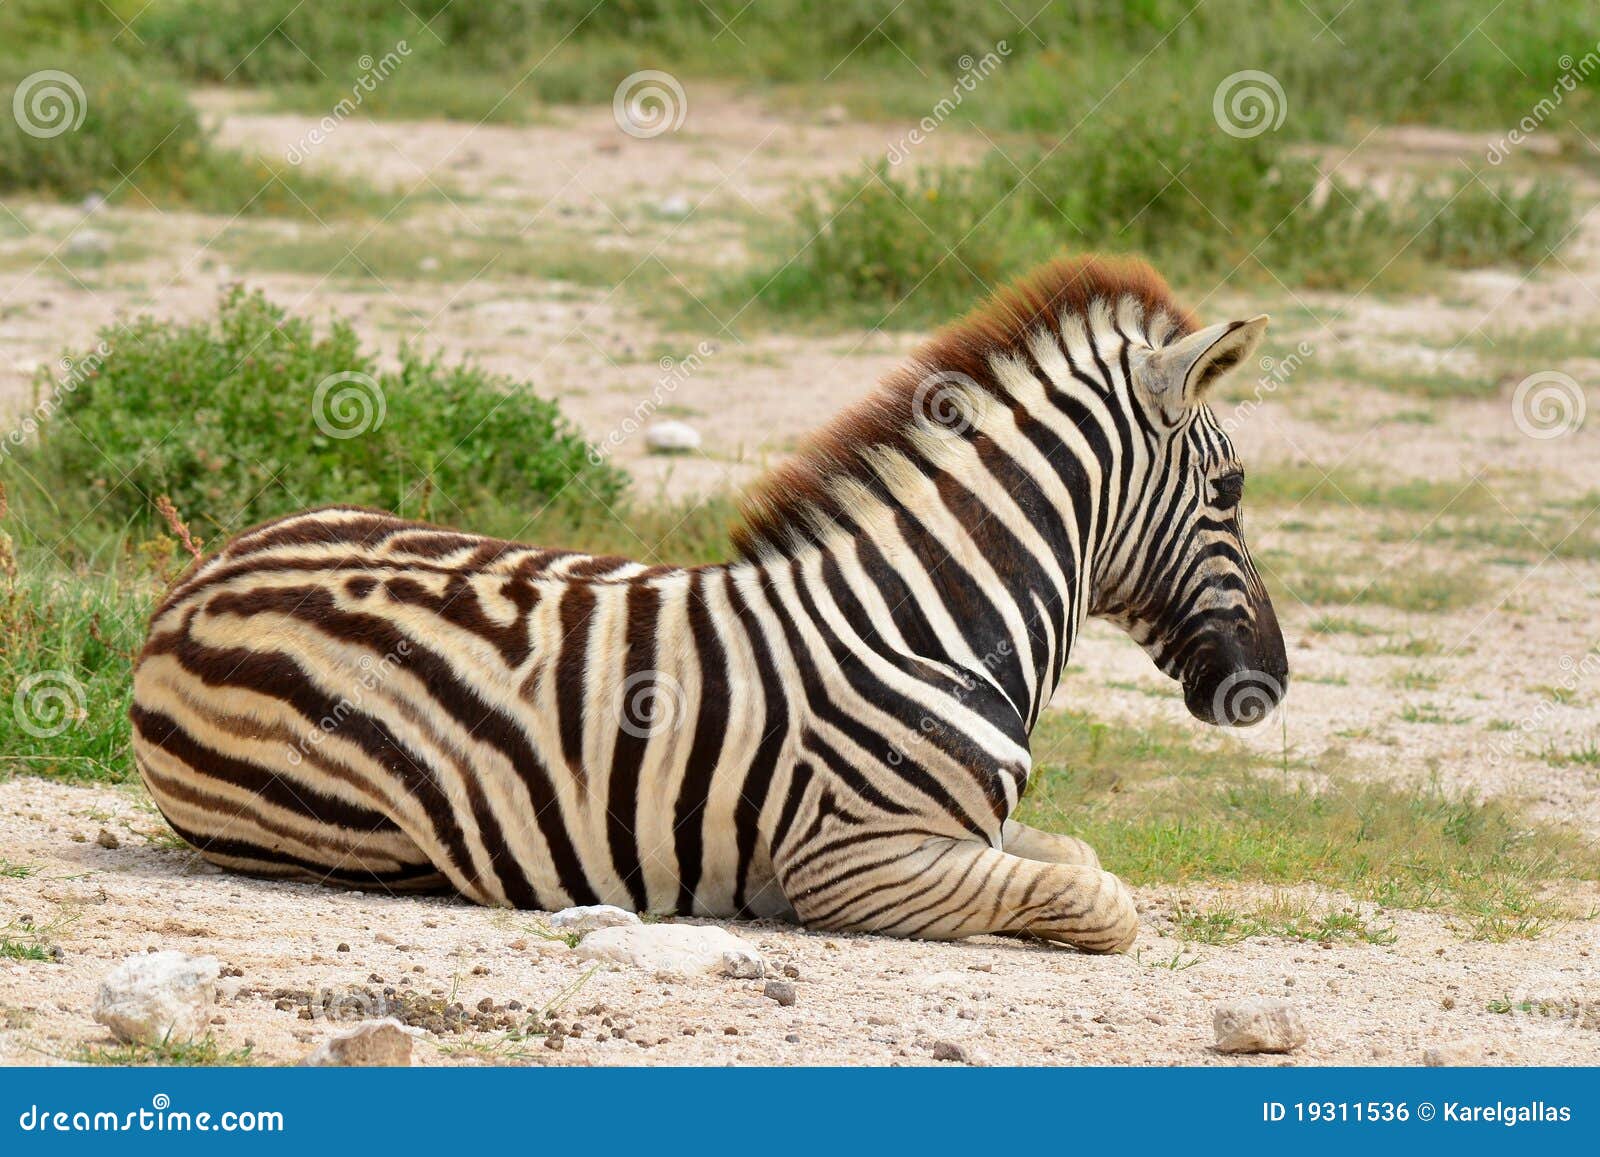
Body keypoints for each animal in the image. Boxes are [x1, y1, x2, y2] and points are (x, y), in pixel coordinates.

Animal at [130, 255, 1287, 953]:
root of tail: (196, 583)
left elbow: (1079, 858)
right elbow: (1102, 899)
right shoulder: (857, 864)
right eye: (1231, 490)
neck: (928, 623)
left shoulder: (966, 831)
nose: (1268, 684)